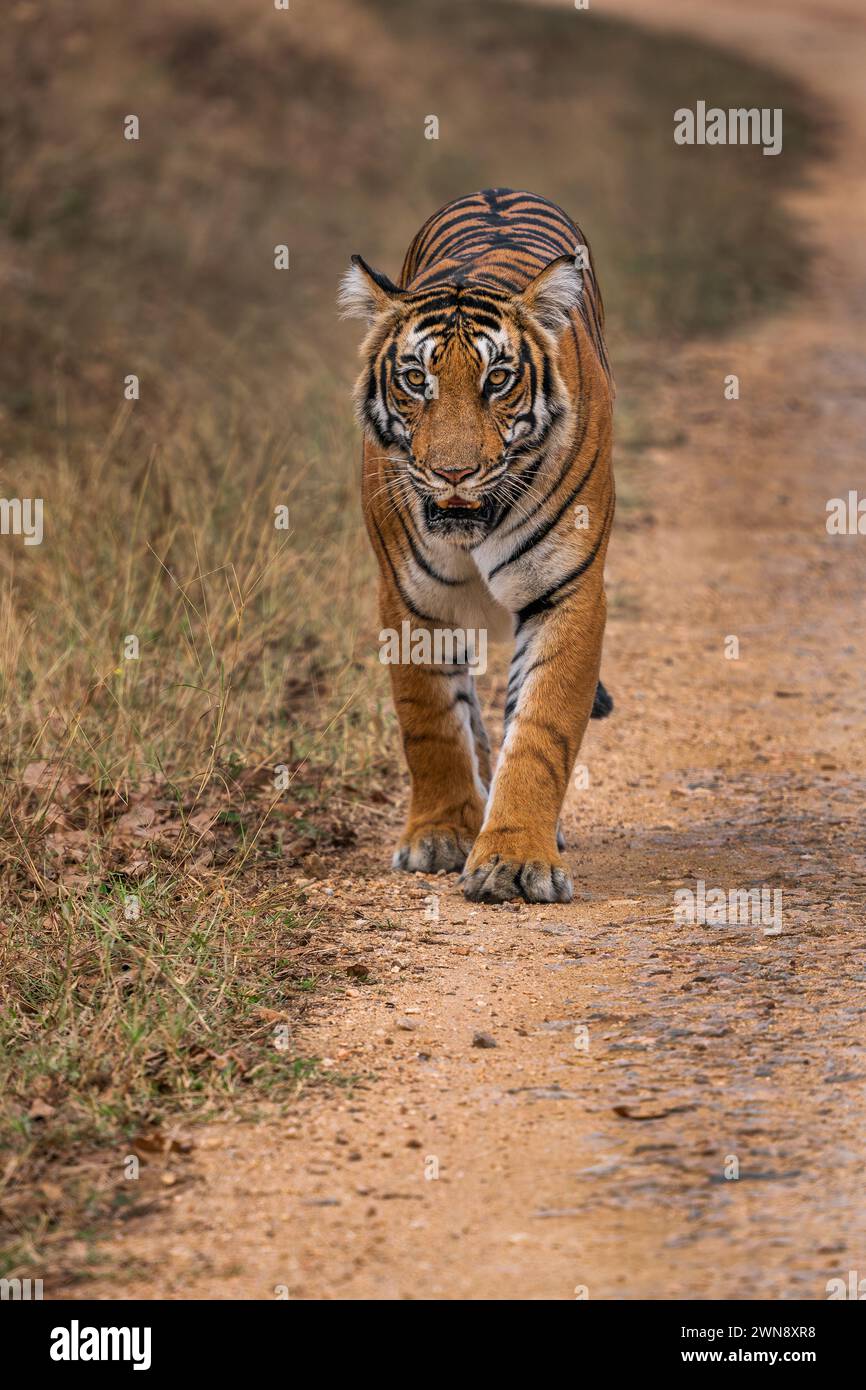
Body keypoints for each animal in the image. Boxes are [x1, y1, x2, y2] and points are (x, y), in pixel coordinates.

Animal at [339, 188, 614, 903]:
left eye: (497, 380)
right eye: (415, 379)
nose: (454, 472)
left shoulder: (567, 591)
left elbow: (541, 729)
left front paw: (515, 857)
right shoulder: (409, 598)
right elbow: (430, 721)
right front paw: (441, 835)